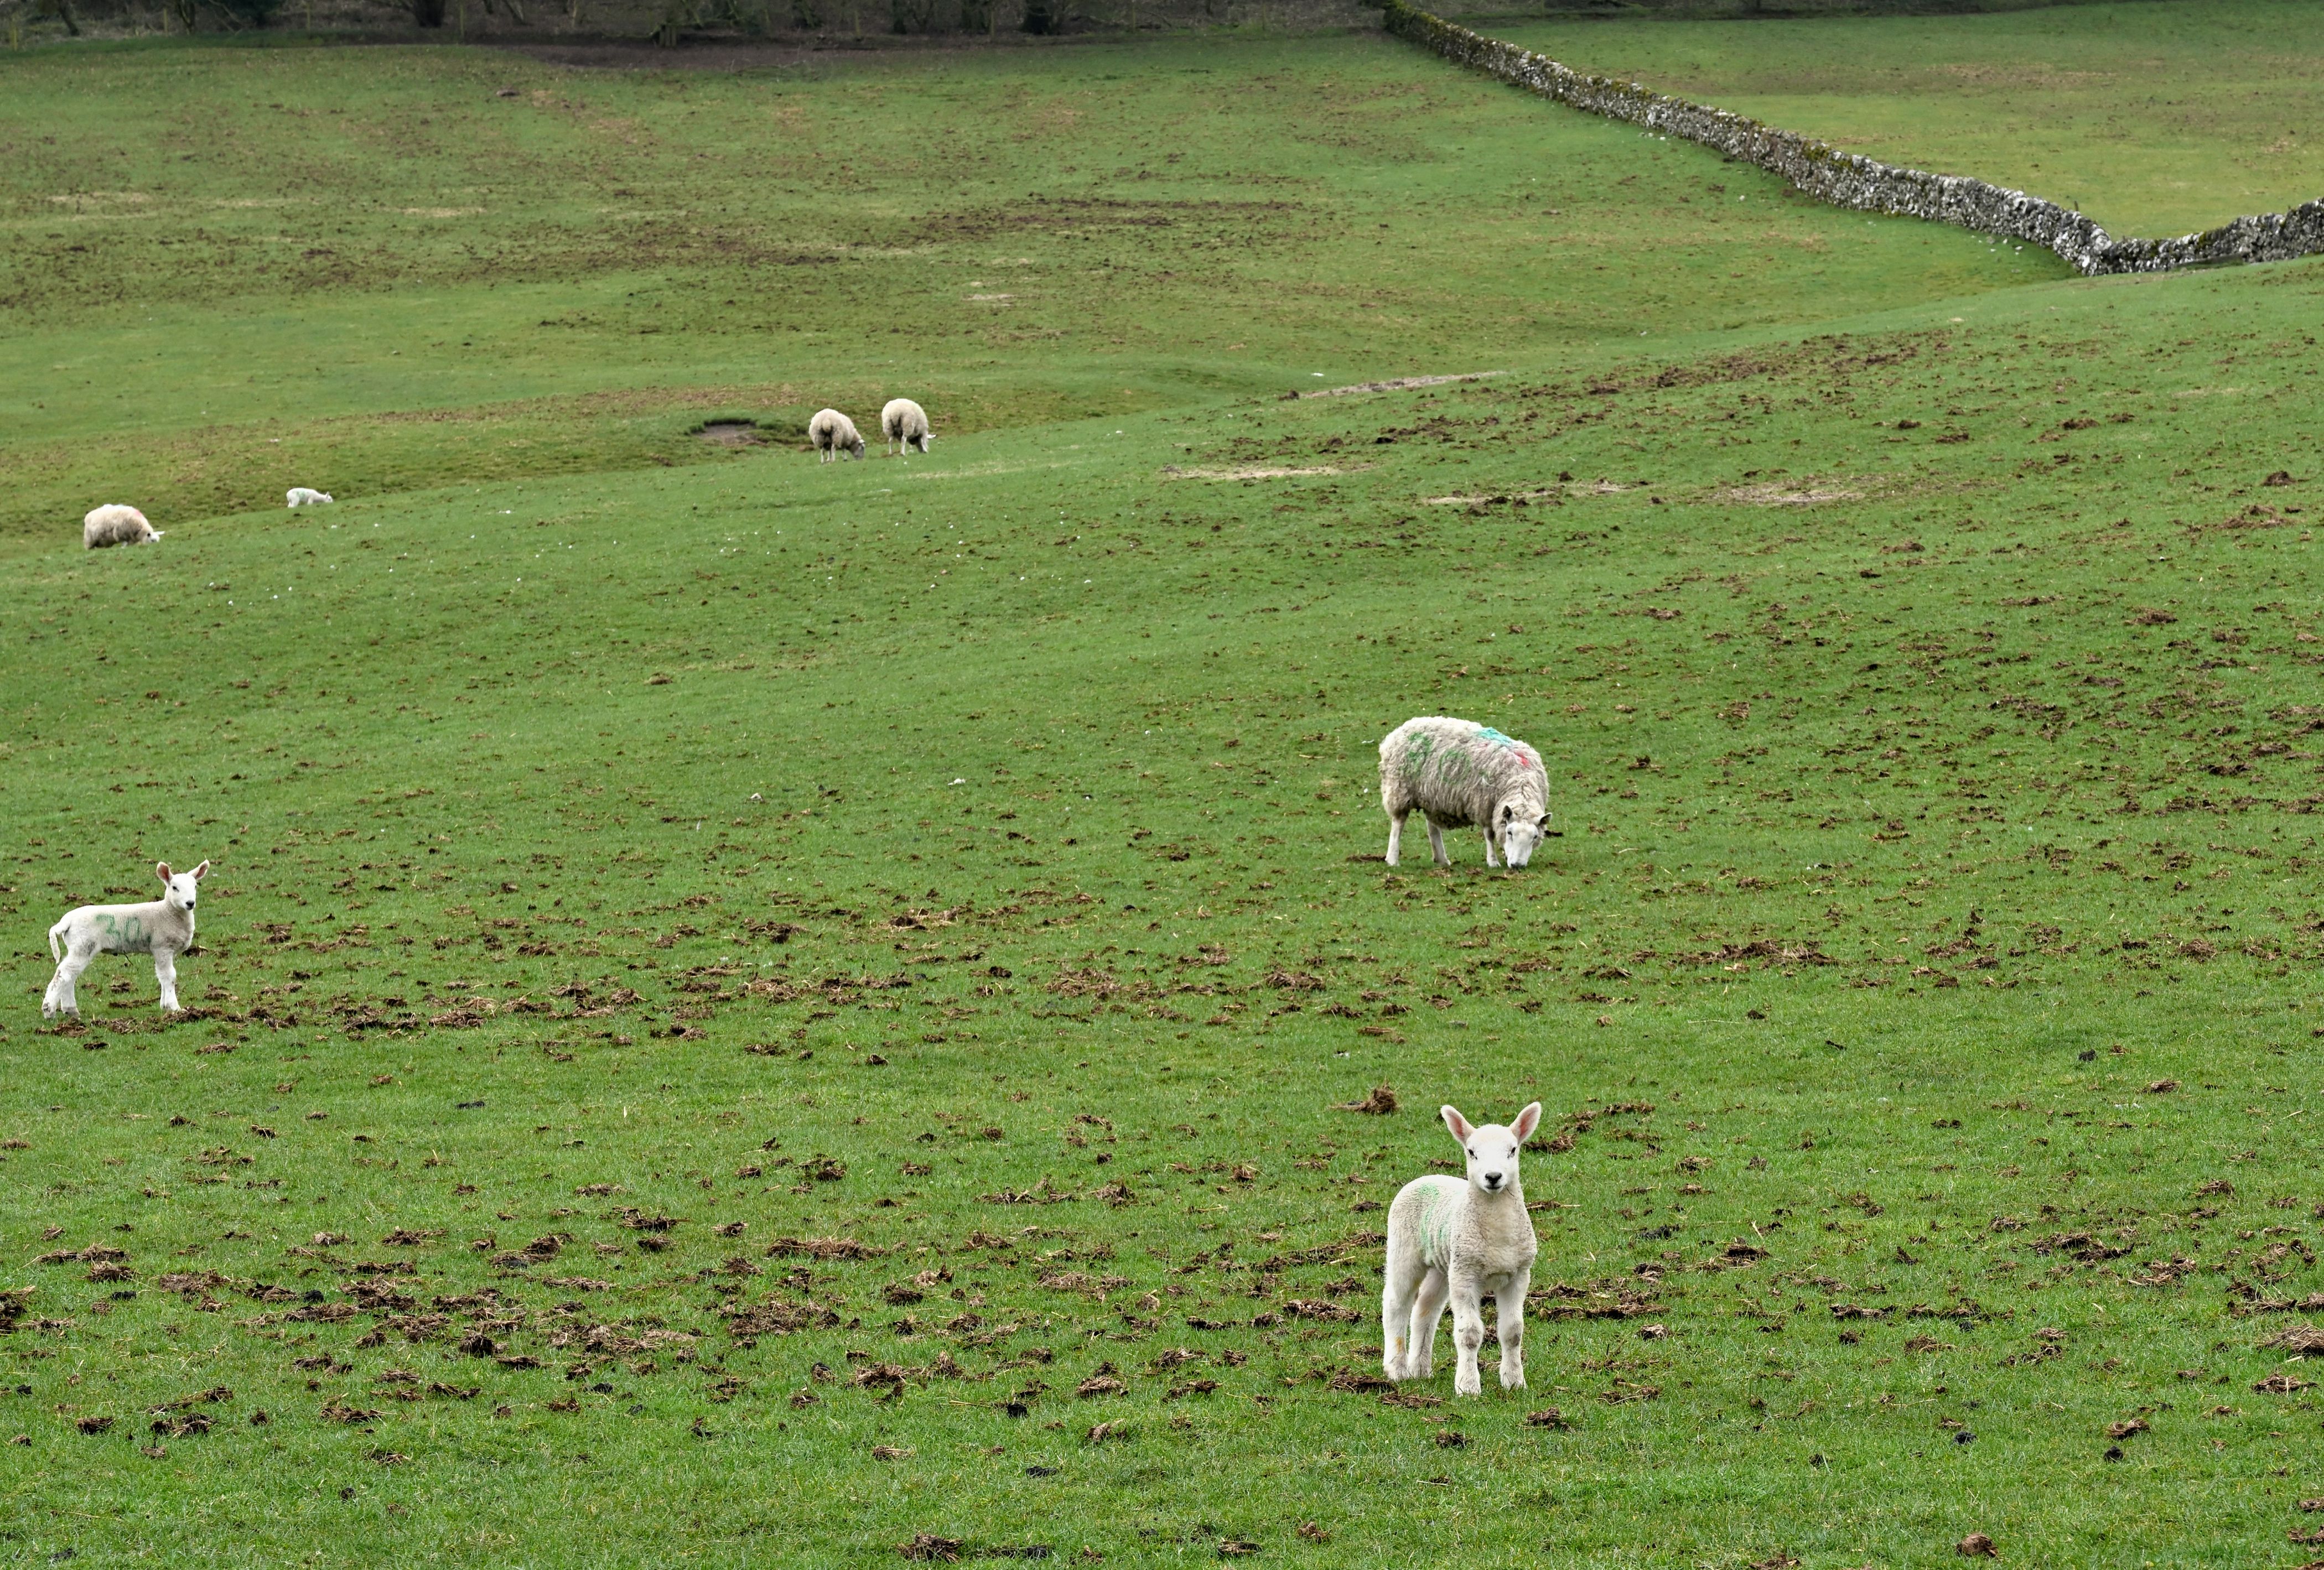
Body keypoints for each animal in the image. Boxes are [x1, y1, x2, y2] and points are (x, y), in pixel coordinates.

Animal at [43, 860, 210, 1018]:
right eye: (175, 888)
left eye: (195, 886)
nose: (190, 903)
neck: (168, 912)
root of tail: (66, 921)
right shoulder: (162, 947)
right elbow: (170, 976)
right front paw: (174, 1008)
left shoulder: (161, 950)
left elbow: (162, 976)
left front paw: (164, 1006)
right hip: (83, 945)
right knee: (64, 974)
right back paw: (48, 1010)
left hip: (78, 947)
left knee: (70, 976)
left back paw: (70, 1010)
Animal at [83, 505, 161, 550]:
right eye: (152, 540)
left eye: (158, 540)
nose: (156, 547)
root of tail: (88, 515)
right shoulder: (122, 534)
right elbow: (124, 544)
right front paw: (123, 548)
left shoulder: (130, 538)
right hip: (90, 540)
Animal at [1378, 716, 1551, 869]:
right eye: (1510, 833)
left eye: (1535, 837)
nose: (1517, 866)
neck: (1520, 781)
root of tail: (1401, 729)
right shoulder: (1484, 806)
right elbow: (1489, 834)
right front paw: (1493, 861)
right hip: (1400, 789)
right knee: (1398, 823)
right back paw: (1392, 859)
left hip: (1431, 795)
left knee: (1432, 826)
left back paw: (1441, 859)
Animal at [1382, 1101, 1542, 1396]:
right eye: (1471, 1152)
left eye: (1513, 1150)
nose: (1493, 1177)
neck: (1498, 1235)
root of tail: (1426, 1177)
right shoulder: (1466, 1275)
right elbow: (1469, 1334)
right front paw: (1468, 1387)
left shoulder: (1519, 1274)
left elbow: (1513, 1331)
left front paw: (1515, 1382)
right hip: (1404, 1248)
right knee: (1396, 1303)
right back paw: (1397, 1369)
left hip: (1445, 1265)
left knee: (1425, 1309)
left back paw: (1420, 1370)